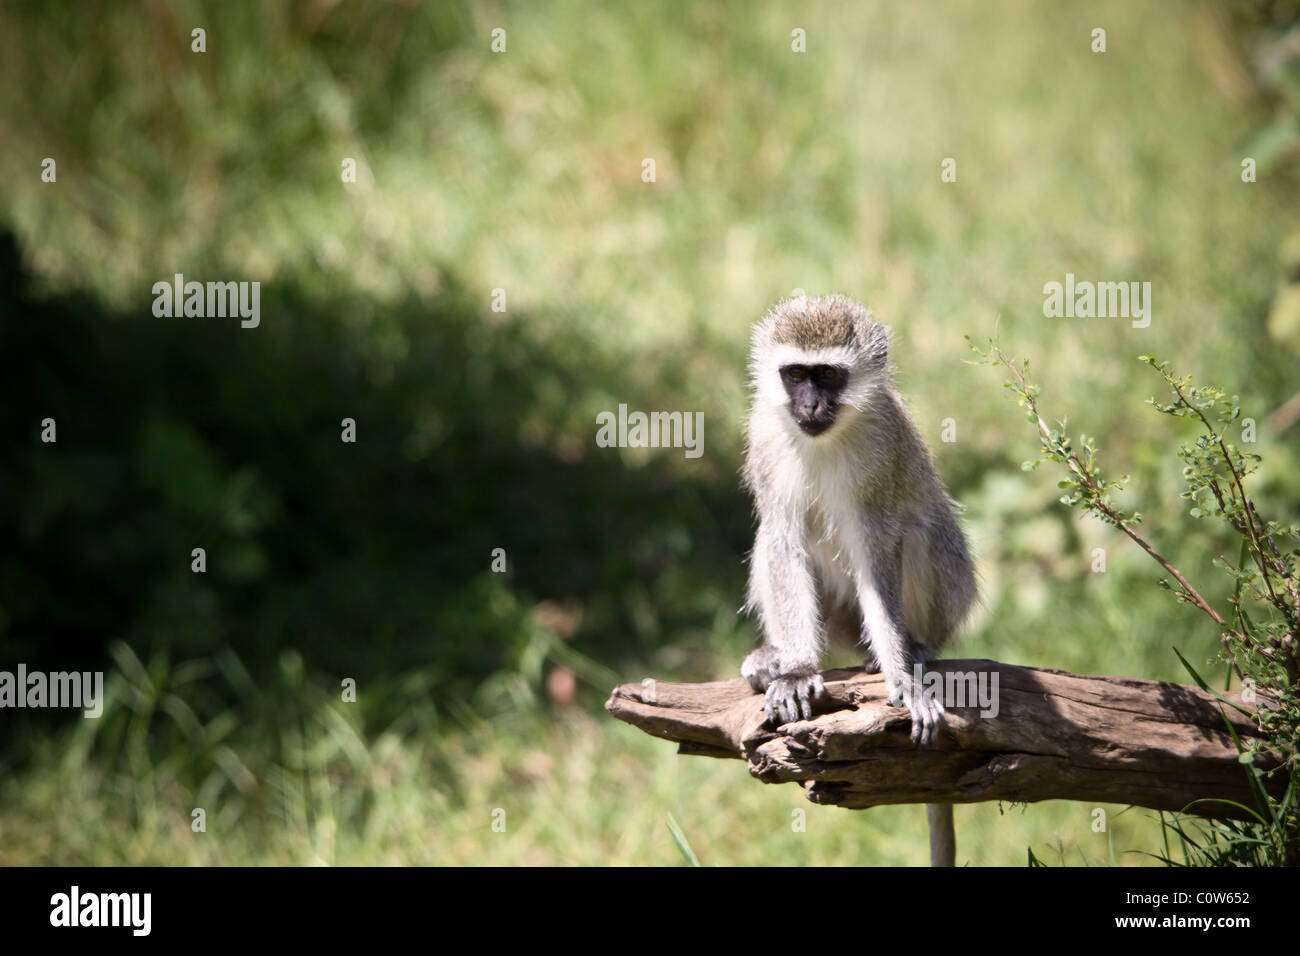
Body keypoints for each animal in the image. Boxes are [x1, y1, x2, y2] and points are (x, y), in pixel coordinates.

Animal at [739, 294, 977, 867]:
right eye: (795, 374)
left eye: (828, 375)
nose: (807, 407)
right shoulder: (764, 435)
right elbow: (783, 539)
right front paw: (797, 668)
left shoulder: (879, 447)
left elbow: (876, 551)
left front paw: (902, 676)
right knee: (768, 539)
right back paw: (773, 657)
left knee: (921, 529)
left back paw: (917, 648)